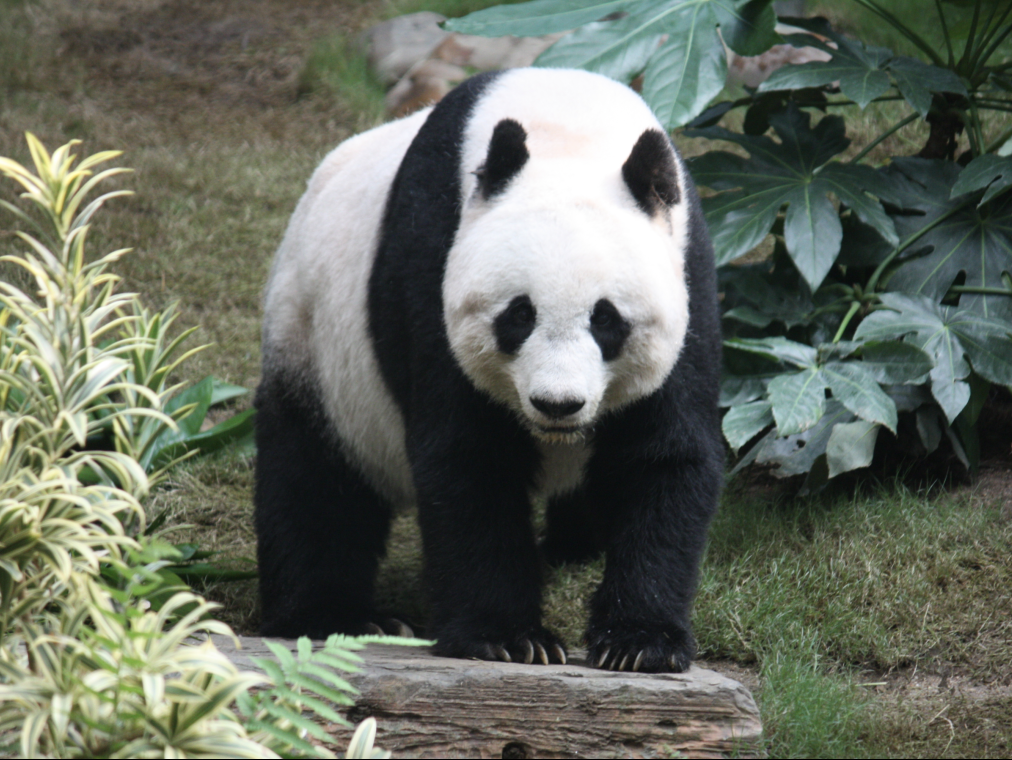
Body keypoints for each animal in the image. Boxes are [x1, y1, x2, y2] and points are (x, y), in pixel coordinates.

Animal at [254, 67, 723, 673]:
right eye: (519, 315)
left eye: (607, 320)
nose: (557, 404)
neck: (567, 126)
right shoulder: (431, 260)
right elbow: (470, 459)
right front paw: (509, 638)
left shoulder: (689, 276)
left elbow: (662, 456)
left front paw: (639, 643)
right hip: (315, 341)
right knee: (315, 480)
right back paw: (336, 616)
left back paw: (573, 547)